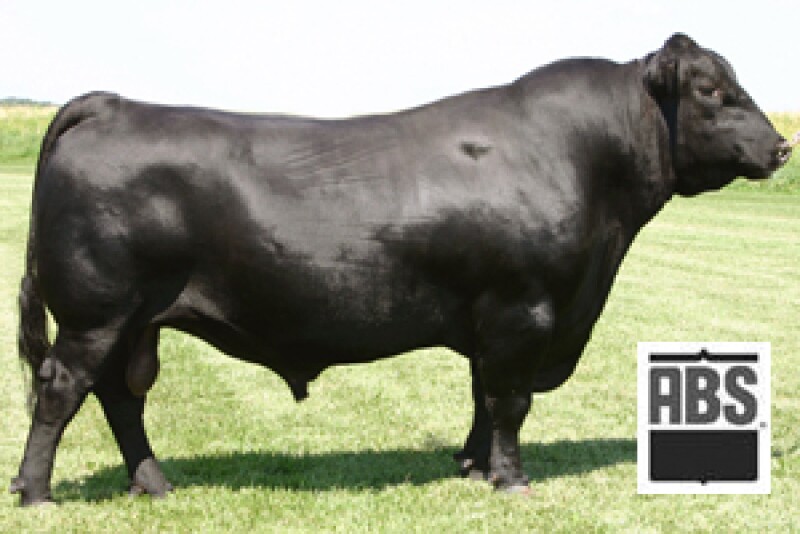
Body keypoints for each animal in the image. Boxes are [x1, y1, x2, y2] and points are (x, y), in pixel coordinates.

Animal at [11, 34, 792, 505]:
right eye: (713, 93)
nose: (783, 146)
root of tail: (111, 105)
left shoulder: (493, 319)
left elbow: (482, 398)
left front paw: (473, 466)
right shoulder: (523, 309)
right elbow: (510, 401)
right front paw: (511, 481)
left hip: (135, 320)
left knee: (120, 397)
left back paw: (154, 482)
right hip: (95, 313)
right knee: (60, 389)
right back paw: (36, 491)